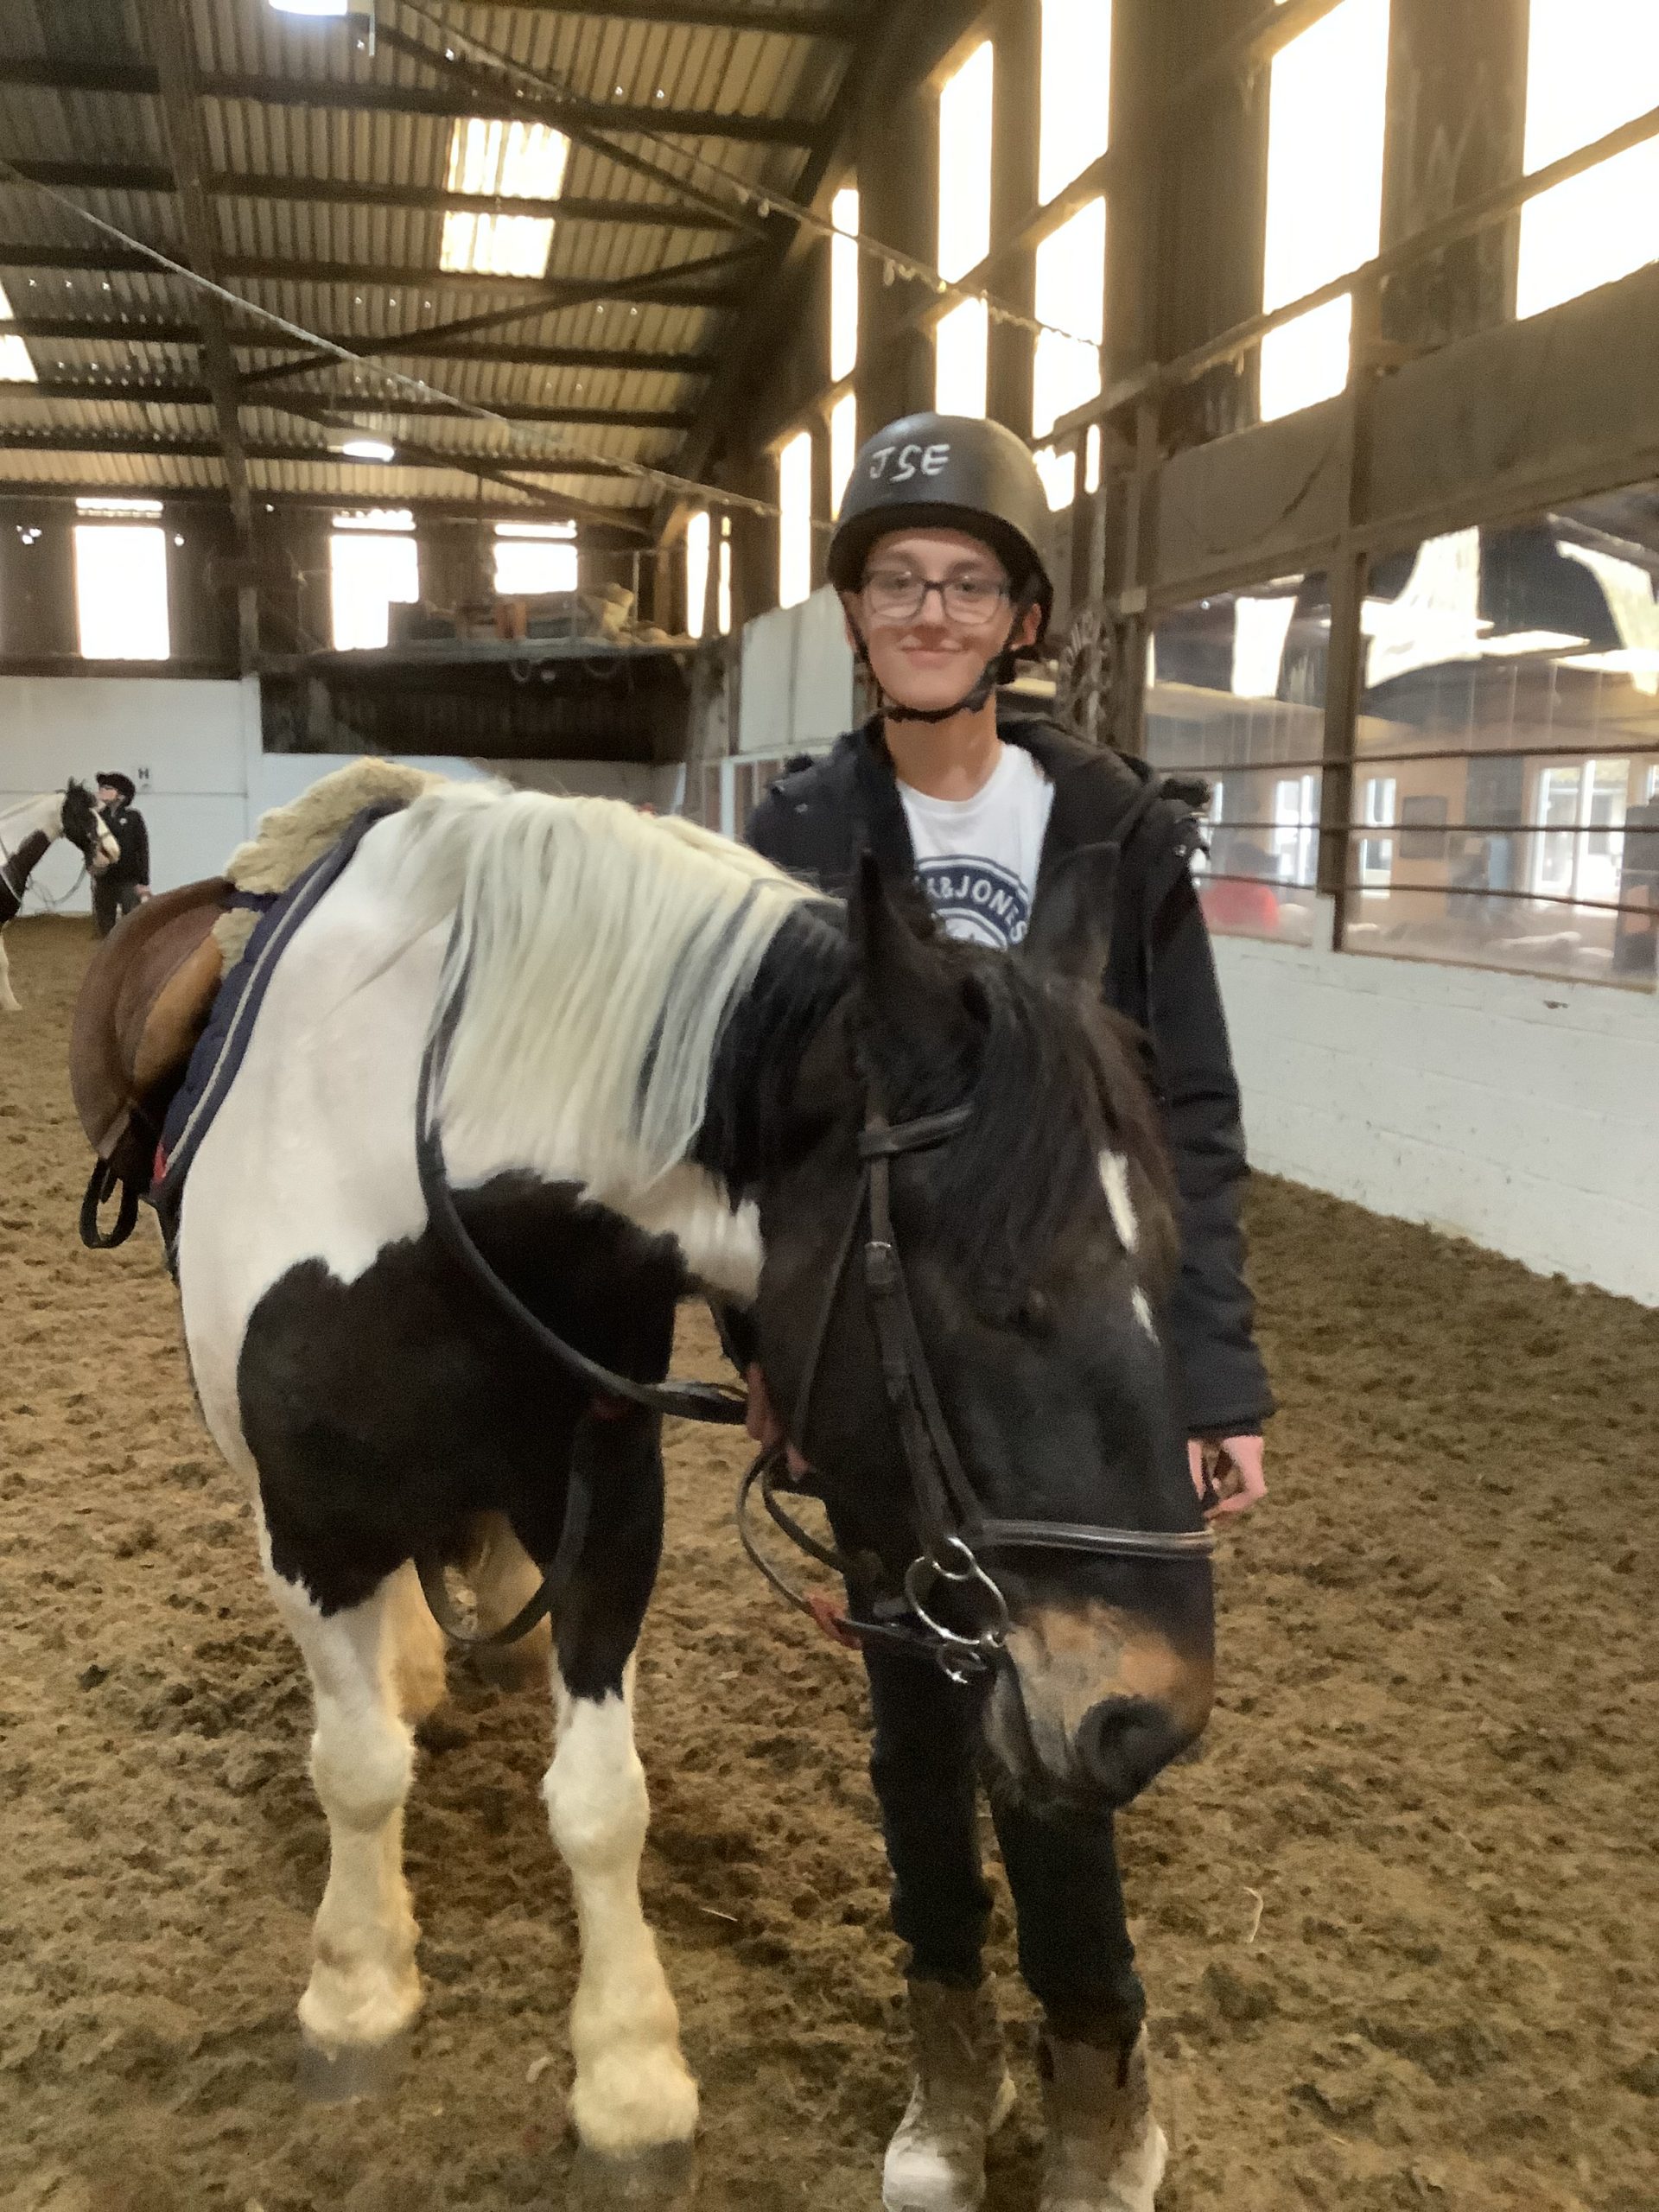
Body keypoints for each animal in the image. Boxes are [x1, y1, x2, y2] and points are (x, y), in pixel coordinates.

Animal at [169, 779, 1214, 2185]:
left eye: (1166, 1260)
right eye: (1002, 1298)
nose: (1151, 1715)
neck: (418, 1184)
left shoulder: (606, 1507)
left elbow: (603, 1803)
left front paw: (628, 2077)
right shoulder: (309, 1527)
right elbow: (358, 1768)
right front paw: (355, 1992)